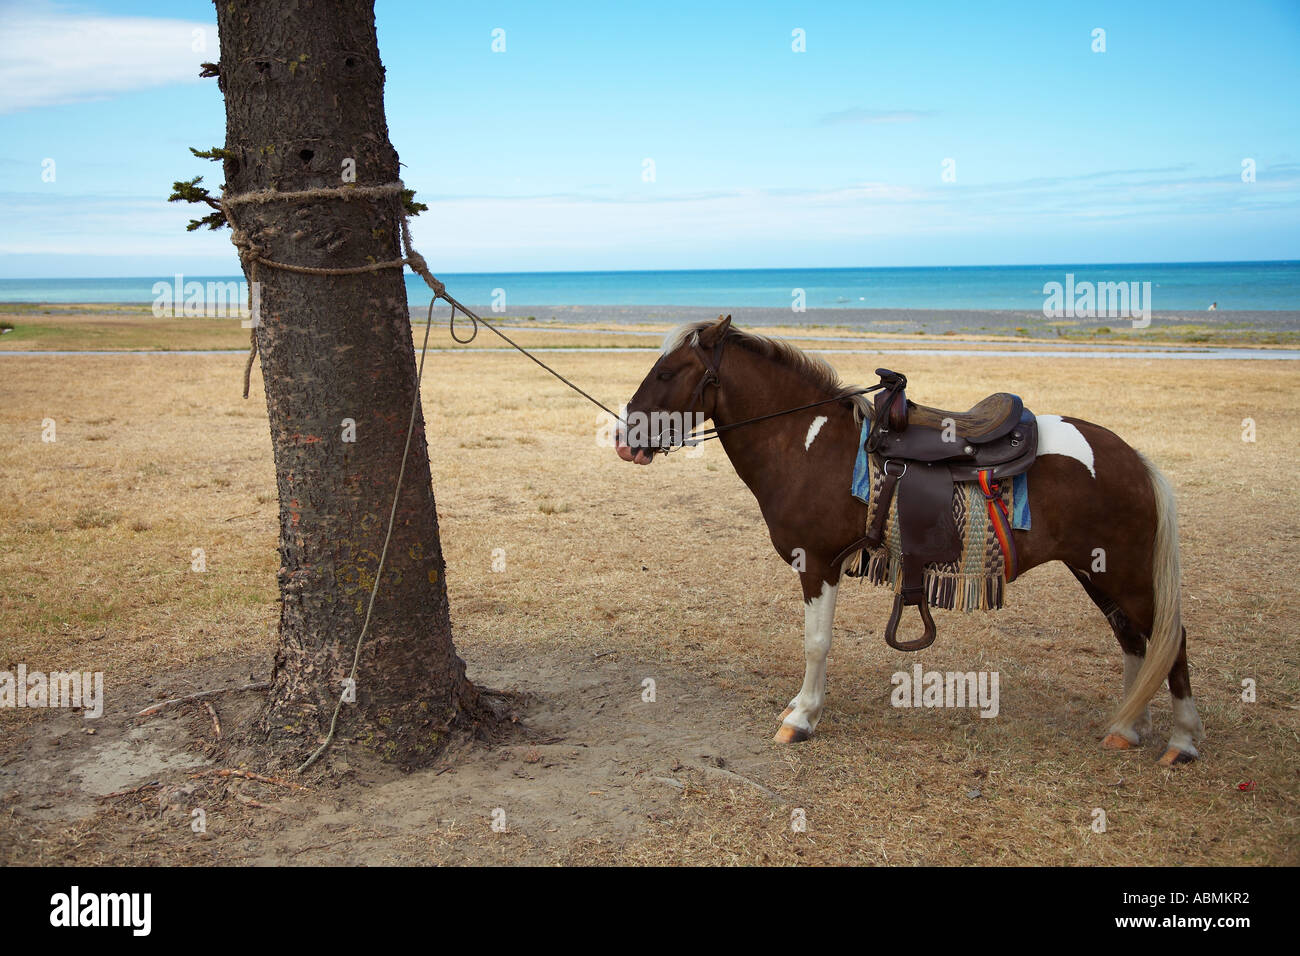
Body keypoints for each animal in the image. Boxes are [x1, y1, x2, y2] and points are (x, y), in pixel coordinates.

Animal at [614, 315, 1204, 766]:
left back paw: (1181, 742)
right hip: (1096, 571)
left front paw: (802, 718)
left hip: (1125, 572)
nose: (624, 439)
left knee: (1169, 643)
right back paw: (1126, 728)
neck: (809, 444)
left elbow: (815, 643)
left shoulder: (817, 564)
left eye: (665, 371)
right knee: (1132, 641)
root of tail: (1132, 459)